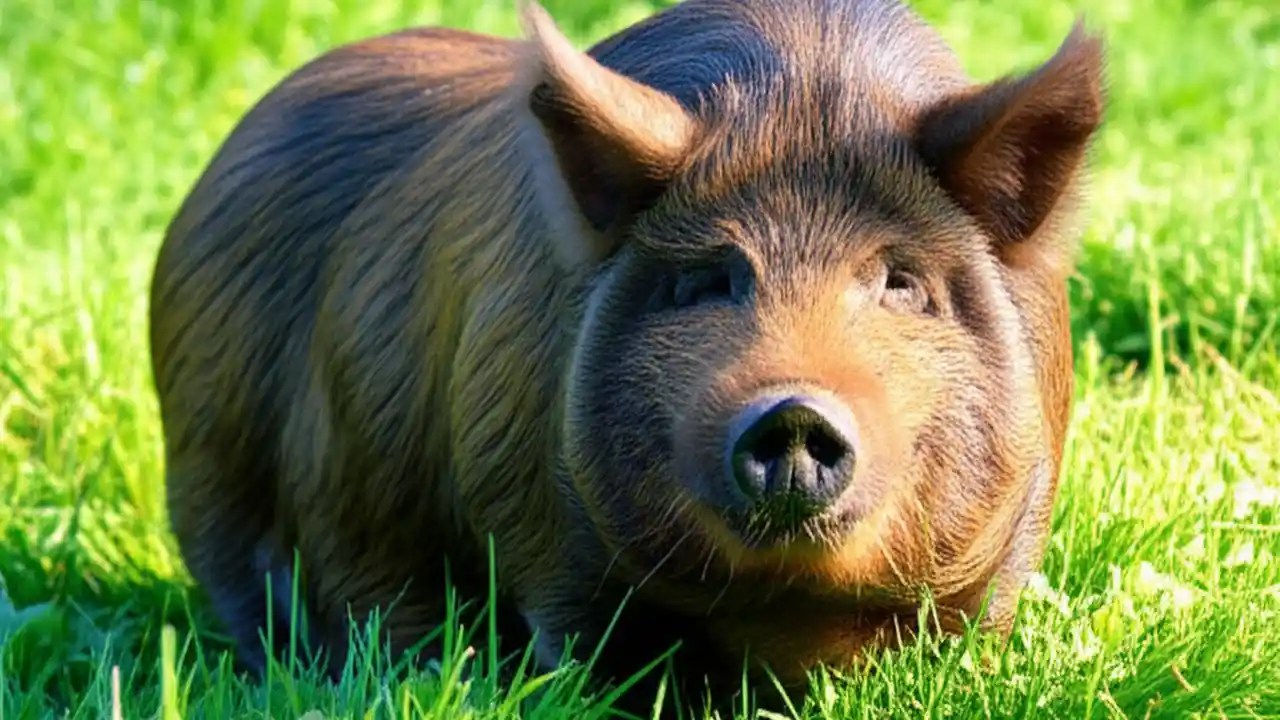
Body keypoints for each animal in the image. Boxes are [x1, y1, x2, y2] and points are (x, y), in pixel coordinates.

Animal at [149, 0, 1104, 703]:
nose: (795, 406)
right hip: (246, 457)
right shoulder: (545, 532)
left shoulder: (1007, 552)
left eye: (901, 282)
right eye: (706, 280)